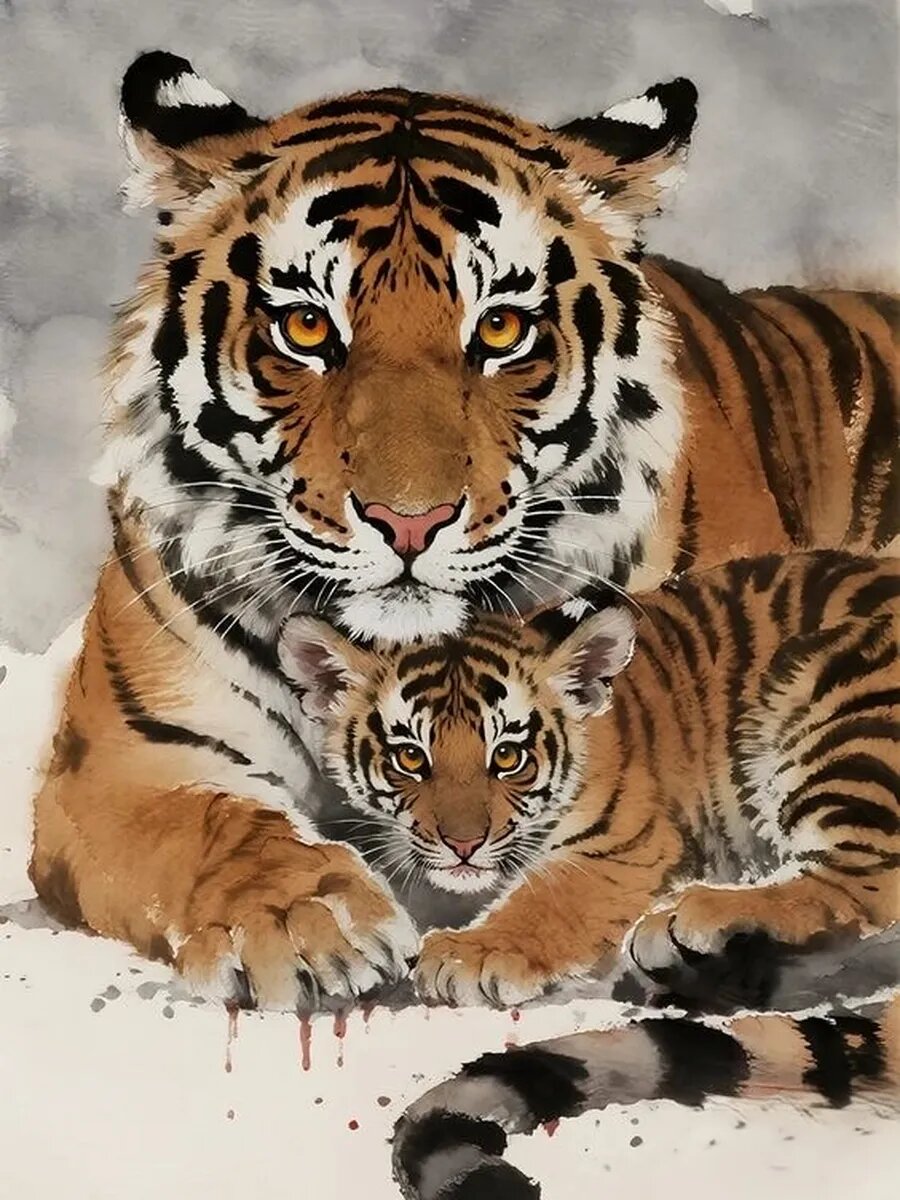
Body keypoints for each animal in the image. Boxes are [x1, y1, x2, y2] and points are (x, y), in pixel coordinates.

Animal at [31, 49, 898, 1009]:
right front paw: (305, 920)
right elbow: (215, 827)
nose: (409, 523)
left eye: (502, 327)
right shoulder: (123, 763)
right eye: (306, 327)